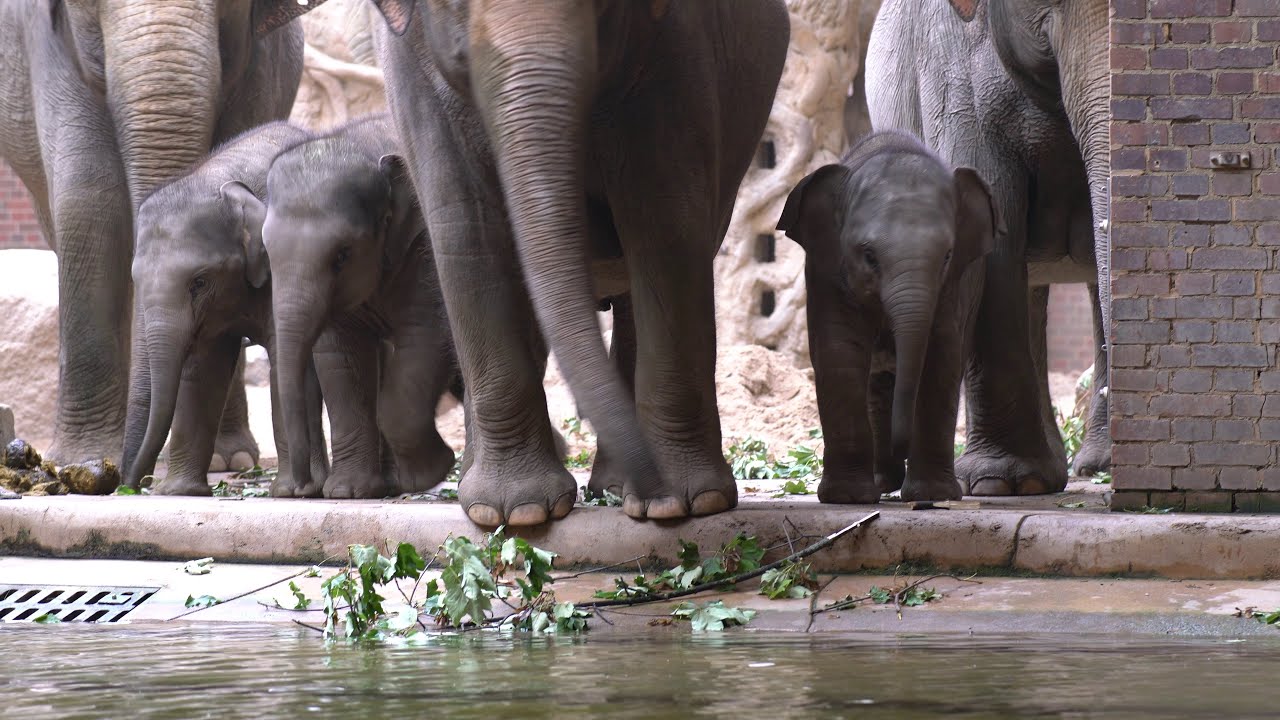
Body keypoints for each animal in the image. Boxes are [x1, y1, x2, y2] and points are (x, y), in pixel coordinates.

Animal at [125, 121, 330, 496]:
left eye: (199, 282)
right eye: (137, 282)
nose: (133, 487)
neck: (220, 181)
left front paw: (288, 492)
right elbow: (203, 370)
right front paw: (180, 493)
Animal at [257, 114, 459, 499]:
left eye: (342, 255)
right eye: (267, 253)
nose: (301, 488)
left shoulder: (424, 251)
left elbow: (425, 337)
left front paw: (431, 472)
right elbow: (338, 358)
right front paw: (347, 492)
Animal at [368, 0, 789, 526]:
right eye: (454, 9)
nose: (657, 488)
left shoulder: (677, 50)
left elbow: (665, 222)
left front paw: (685, 502)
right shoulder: (412, 71)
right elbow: (465, 224)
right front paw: (516, 511)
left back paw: (619, 487)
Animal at [777, 131, 1000, 503]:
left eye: (947, 256)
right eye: (869, 256)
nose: (902, 448)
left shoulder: (954, 286)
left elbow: (942, 356)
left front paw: (934, 494)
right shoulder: (827, 274)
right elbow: (838, 352)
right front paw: (847, 497)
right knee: (877, 387)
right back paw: (882, 483)